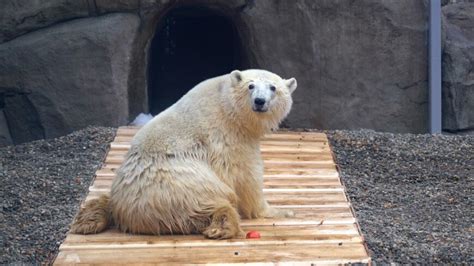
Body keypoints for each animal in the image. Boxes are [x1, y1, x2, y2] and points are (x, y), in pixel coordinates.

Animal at [71, 69, 296, 239]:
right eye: (250, 86)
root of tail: (126, 211)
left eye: (273, 88)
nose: (259, 101)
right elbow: (246, 177)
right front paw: (280, 211)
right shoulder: (228, 138)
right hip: (179, 186)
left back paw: (88, 219)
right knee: (206, 202)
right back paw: (221, 226)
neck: (227, 106)